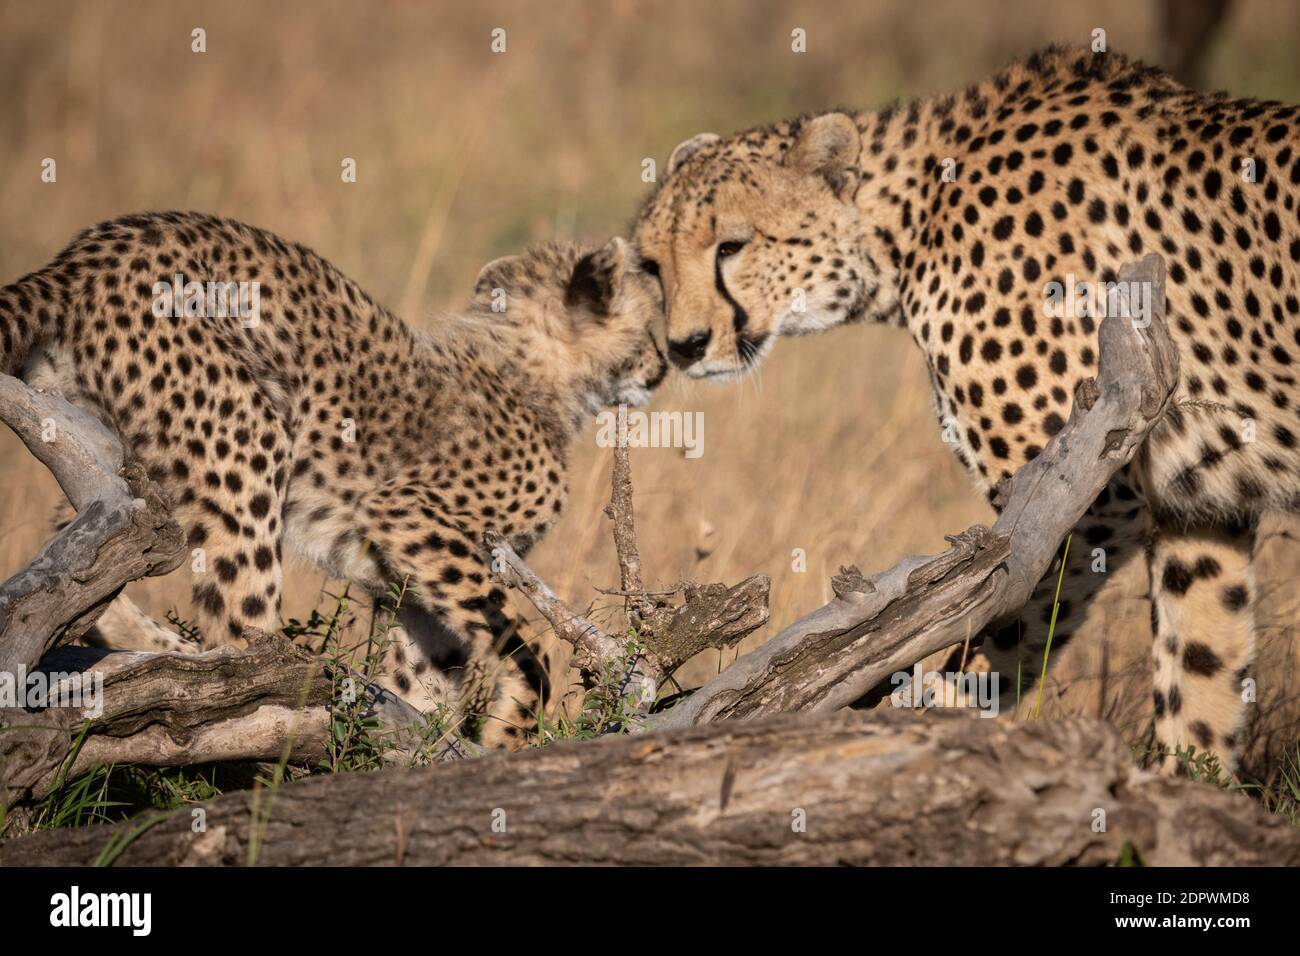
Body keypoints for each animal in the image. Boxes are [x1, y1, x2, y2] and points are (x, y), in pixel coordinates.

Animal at [0, 211, 667, 748]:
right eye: (650, 326)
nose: (665, 363)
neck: (535, 374)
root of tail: (84, 253)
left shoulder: (413, 587)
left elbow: (424, 681)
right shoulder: (410, 516)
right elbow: (533, 650)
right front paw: (508, 739)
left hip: (107, 445)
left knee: (88, 549)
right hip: (248, 435)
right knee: (236, 628)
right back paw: (264, 689)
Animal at [632, 45, 1300, 775]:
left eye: (731, 246)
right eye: (652, 265)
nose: (684, 345)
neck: (912, 218)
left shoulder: (1085, 494)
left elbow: (990, 625)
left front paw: (933, 736)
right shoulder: (1197, 504)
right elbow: (1202, 673)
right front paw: (1184, 791)